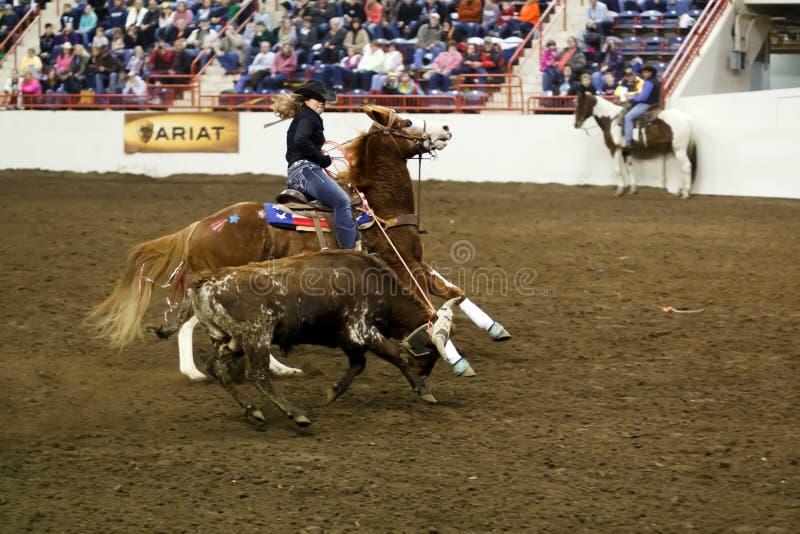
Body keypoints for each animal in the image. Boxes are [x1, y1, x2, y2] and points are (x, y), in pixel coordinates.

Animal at [187, 250, 467, 428]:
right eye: (433, 349)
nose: (424, 373)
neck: (374, 282)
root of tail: (206, 281)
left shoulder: (347, 338)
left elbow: (358, 365)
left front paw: (332, 394)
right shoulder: (361, 330)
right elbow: (394, 355)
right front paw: (424, 391)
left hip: (230, 339)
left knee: (217, 368)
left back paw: (253, 411)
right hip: (257, 336)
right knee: (258, 375)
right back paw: (296, 414)